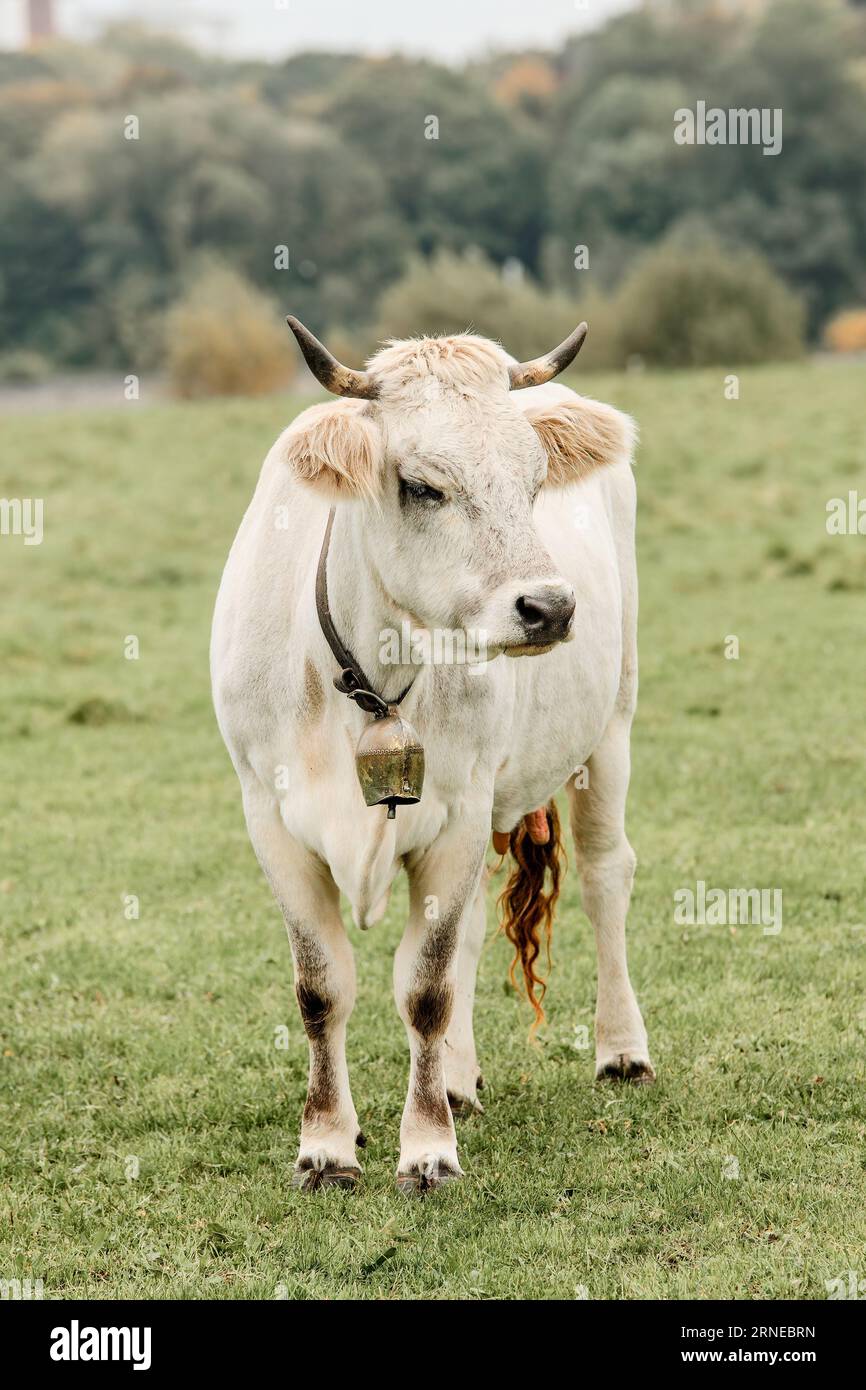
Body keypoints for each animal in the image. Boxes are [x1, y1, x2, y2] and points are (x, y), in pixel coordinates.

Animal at [210, 318, 654, 1195]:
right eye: (420, 485)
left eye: (535, 478)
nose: (549, 607)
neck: (367, 683)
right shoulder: (269, 817)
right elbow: (321, 987)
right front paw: (326, 1144)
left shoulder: (455, 813)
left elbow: (425, 989)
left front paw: (426, 1150)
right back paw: (455, 1077)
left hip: (609, 730)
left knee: (603, 876)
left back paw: (620, 1049)